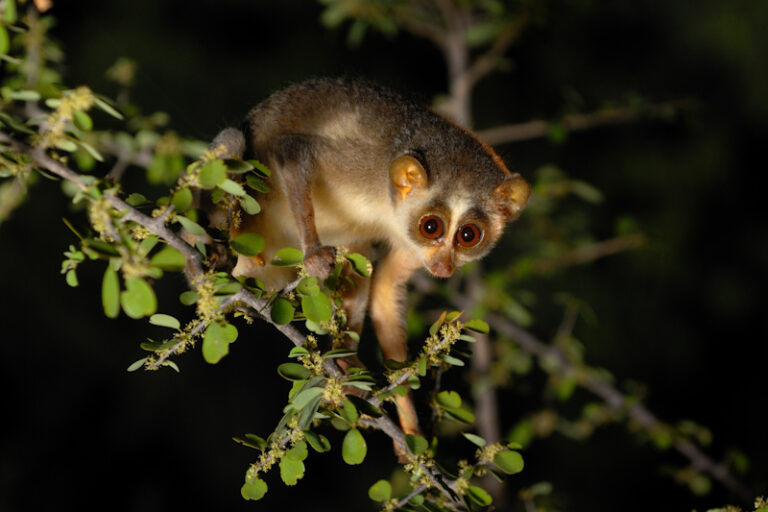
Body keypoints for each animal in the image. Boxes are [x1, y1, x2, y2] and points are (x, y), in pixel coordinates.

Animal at [209, 77, 530, 443]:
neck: (387, 205)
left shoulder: (408, 242)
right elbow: (291, 150)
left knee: (362, 264)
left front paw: (409, 430)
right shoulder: (361, 164)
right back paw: (217, 251)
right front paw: (314, 254)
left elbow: (384, 288)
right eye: (431, 227)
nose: (444, 267)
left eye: (469, 235)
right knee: (233, 141)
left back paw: (345, 365)